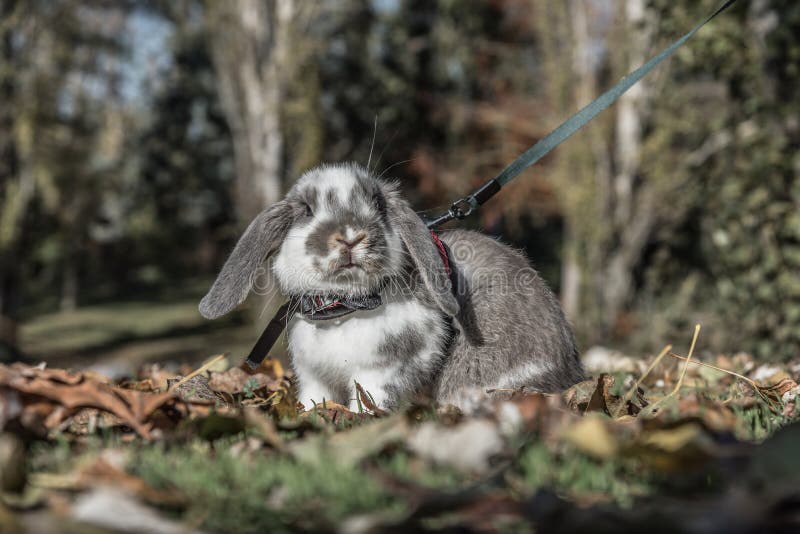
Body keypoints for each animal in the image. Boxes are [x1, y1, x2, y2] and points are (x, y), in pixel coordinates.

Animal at [199, 162, 585, 410]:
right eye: (307, 209)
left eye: (378, 204)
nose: (350, 235)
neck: (341, 308)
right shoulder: (313, 378)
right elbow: (313, 404)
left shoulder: (382, 373)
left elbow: (367, 405)